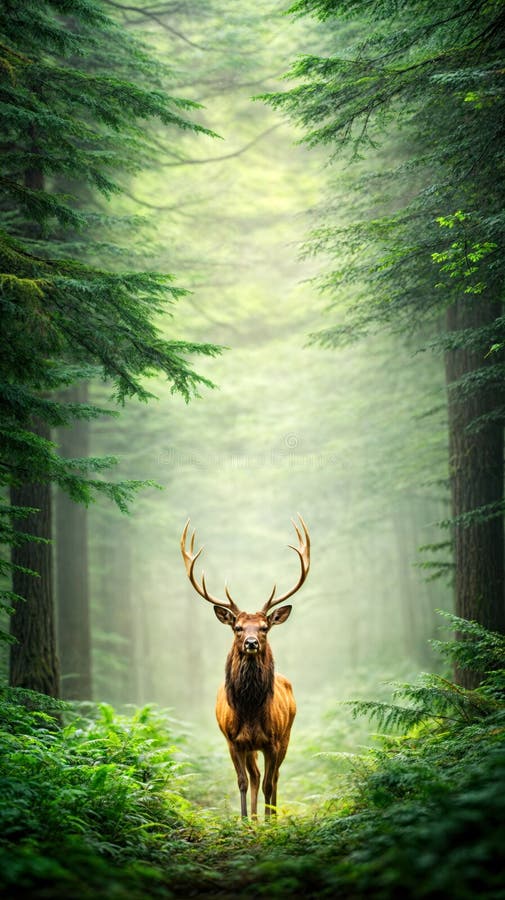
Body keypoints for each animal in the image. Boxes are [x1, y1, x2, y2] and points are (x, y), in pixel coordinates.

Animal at [180, 515, 310, 819]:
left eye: (265, 627)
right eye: (237, 627)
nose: (251, 642)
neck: (250, 710)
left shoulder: (273, 741)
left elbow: (269, 784)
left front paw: (269, 820)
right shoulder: (233, 740)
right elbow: (242, 781)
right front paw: (243, 820)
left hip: (287, 734)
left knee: (272, 778)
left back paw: (269, 815)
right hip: (250, 747)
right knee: (254, 776)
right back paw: (253, 817)